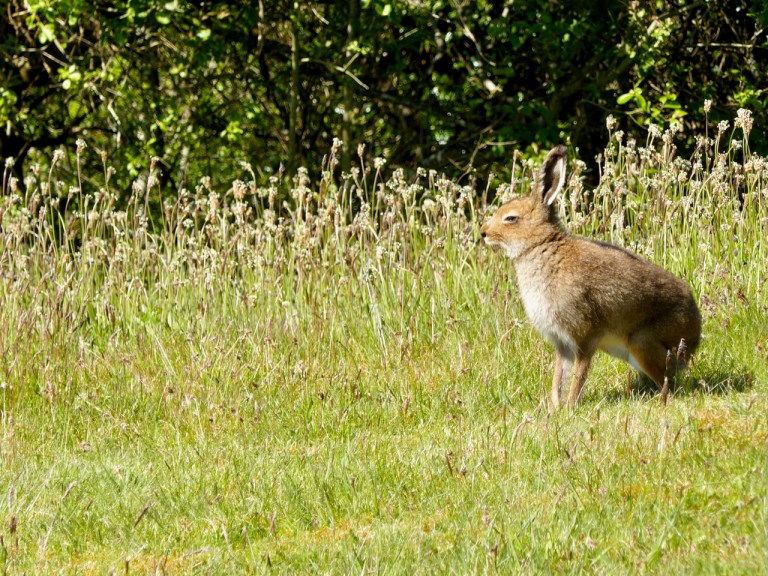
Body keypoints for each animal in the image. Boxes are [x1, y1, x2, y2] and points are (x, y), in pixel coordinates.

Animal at [480, 145, 701, 408]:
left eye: (511, 218)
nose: (483, 233)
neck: (541, 245)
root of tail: (695, 334)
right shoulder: (562, 344)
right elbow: (559, 376)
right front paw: (555, 407)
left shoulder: (585, 335)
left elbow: (579, 372)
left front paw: (569, 407)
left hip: (643, 342)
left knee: (669, 381)